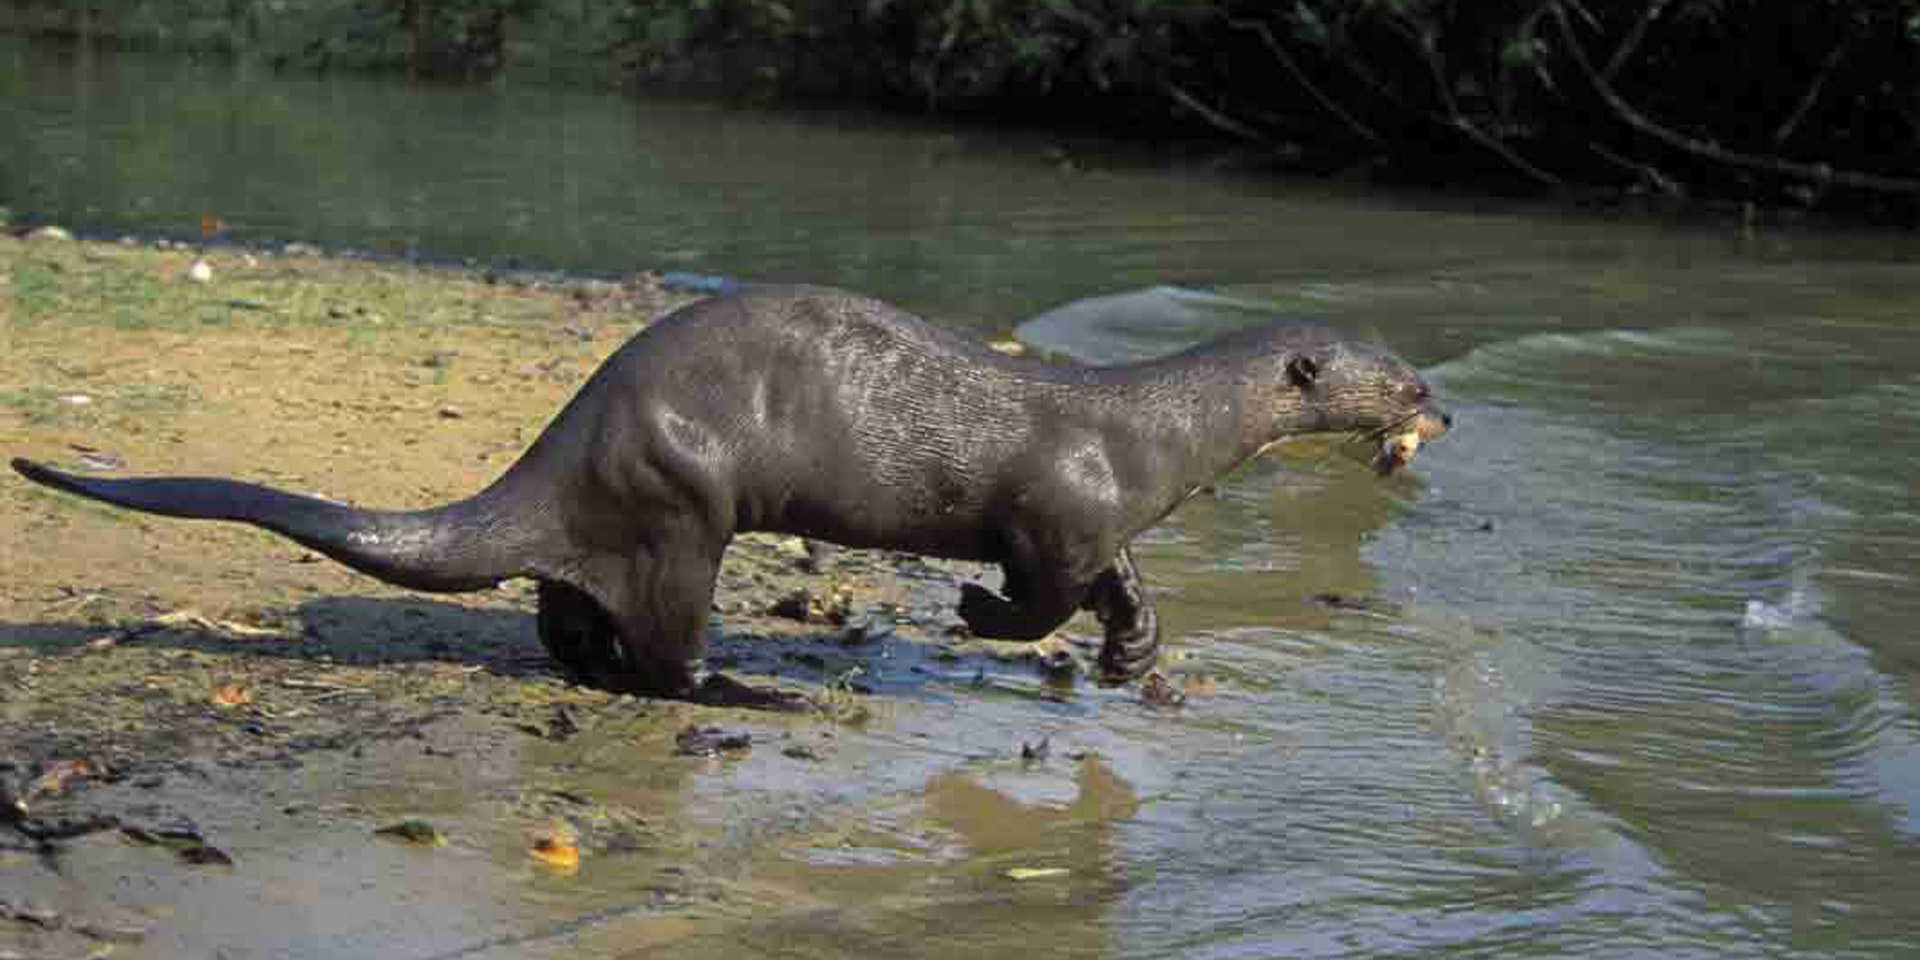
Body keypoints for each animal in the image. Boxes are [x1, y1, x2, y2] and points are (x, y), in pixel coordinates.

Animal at [12, 286, 1449, 706]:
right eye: (1395, 373)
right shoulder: (1060, 504)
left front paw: (1135, 649)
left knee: (570, 622)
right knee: (664, 656)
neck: (1156, 433)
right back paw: (752, 689)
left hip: (626, 514)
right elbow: (1036, 590)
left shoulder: (1104, 514)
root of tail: (562, 449)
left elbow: (1116, 582)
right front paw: (977, 616)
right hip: (680, 500)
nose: (1440, 397)